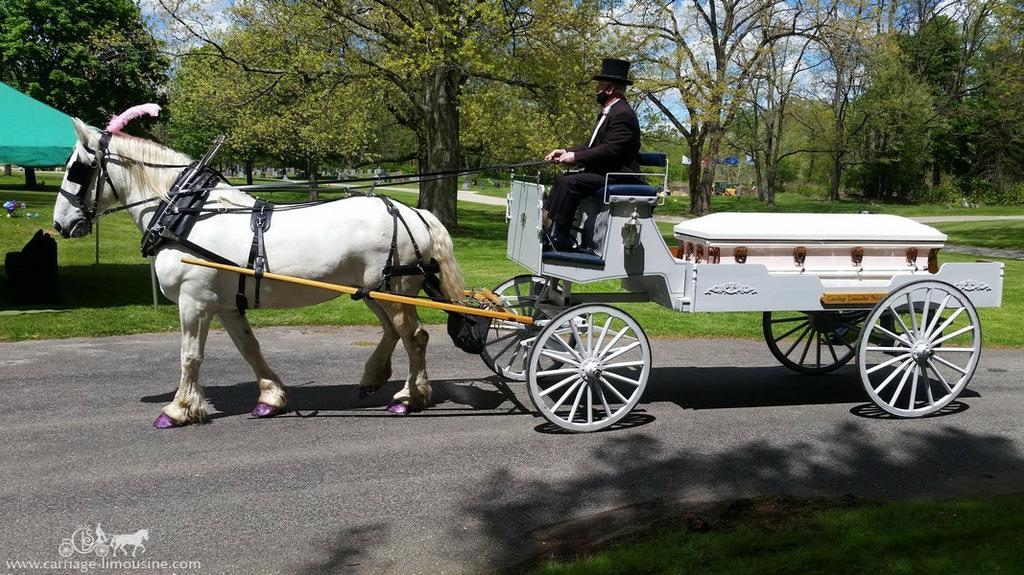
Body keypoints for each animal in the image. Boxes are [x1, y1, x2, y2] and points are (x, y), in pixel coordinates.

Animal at [52, 119, 464, 428]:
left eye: (77, 169)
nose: (60, 224)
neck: (186, 214)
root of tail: (412, 212)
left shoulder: (194, 301)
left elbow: (190, 356)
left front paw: (178, 410)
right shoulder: (225, 306)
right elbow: (249, 349)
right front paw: (270, 397)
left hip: (396, 290)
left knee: (415, 337)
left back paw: (410, 396)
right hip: (372, 290)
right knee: (394, 333)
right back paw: (372, 379)